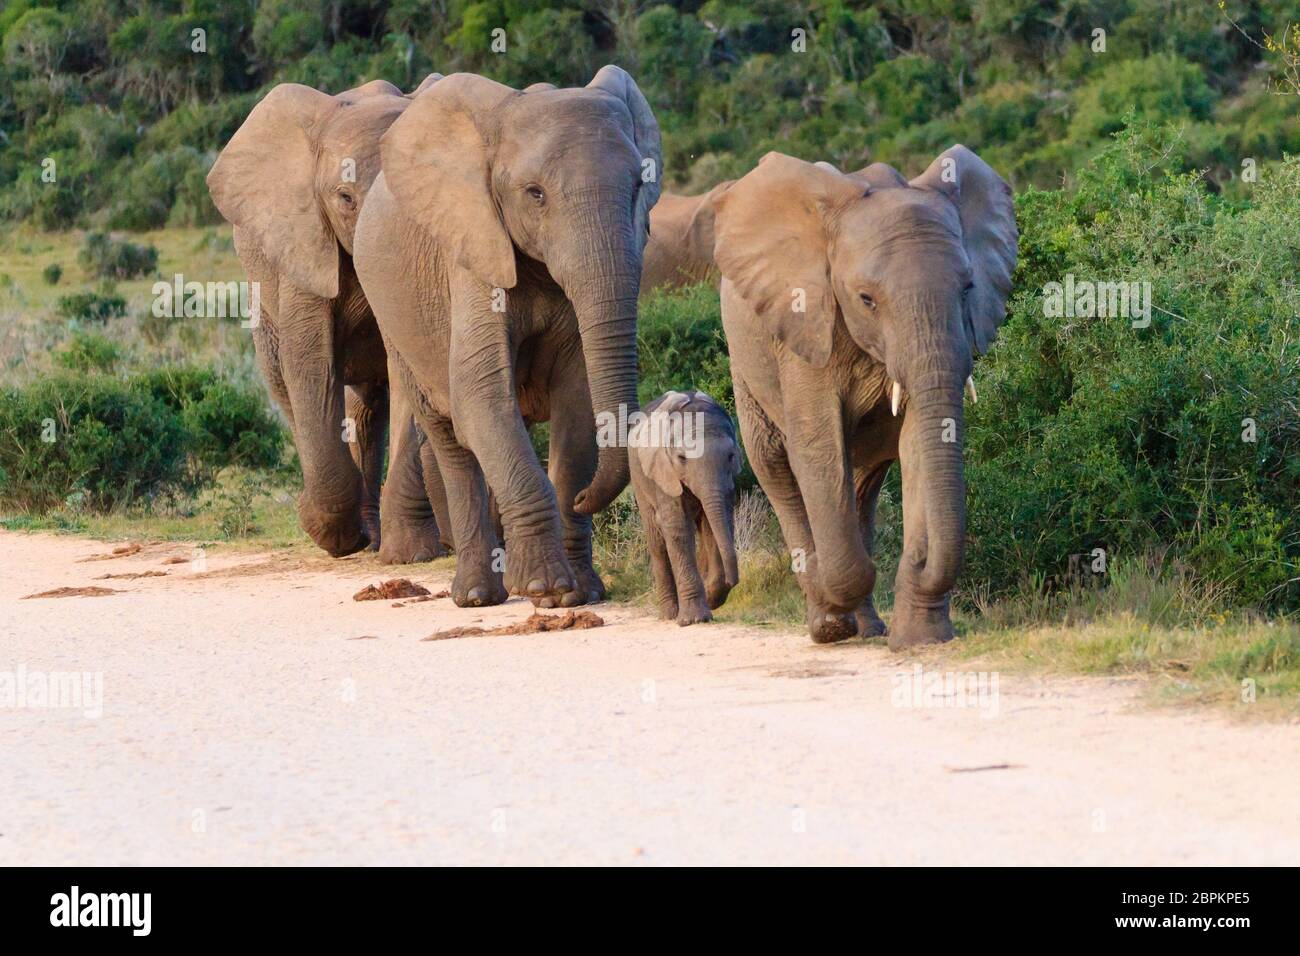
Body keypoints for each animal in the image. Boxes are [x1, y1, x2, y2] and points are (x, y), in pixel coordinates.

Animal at [206, 75, 452, 562]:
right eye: (345, 198)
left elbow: (408, 369)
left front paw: (410, 553)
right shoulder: (302, 245)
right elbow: (311, 364)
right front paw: (330, 532)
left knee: (370, 406)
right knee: (294, 387)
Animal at [352, 66, 662, 608]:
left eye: (635, 188)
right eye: (535, 194)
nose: (586, 498)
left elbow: (577, 401)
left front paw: (581, 592)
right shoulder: (471, 252)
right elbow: (481, 396)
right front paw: (547, 589)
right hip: (394, 319)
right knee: (450, 437)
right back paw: (478, 596)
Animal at [629, 390, 741, 625]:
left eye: (730, 456)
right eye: (681, 458)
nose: (732, 581)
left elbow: (714, 526)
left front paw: (711, 598)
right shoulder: (664, 471)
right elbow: (678, 529)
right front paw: (693, 619)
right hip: (638, 477)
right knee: (657, 542)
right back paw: (670, 614)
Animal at [711, 146, 1017, 650]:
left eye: (968, 289)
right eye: (866, 299)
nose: (919, 562)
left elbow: (917, 442)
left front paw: (920, 639)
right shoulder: (805, 321)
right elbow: (816, 448)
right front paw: (838, 614)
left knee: (863, 481)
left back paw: (868, 627)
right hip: (745, 359)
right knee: (775, 465)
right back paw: (829, 623)